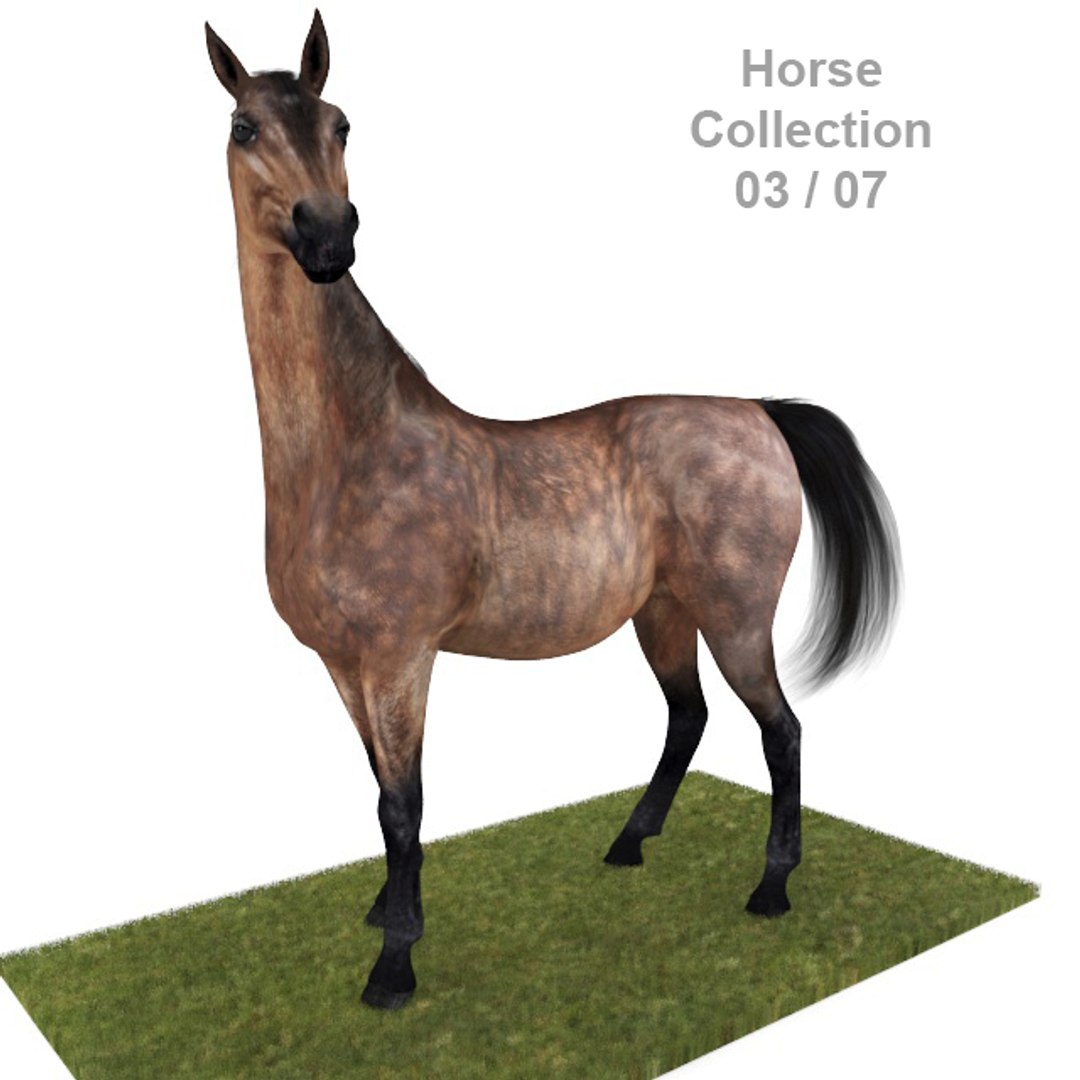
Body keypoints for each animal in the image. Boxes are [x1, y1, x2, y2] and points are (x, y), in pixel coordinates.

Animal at [205, 10, 900, 1011]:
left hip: (735, 615)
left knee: (781, 731)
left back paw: (770, 888)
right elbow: (378, 788)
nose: (329, 236)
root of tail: (758, 410)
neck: (350, 453)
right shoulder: (343, 664)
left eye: (342, 124)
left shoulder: (401, 658)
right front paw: (385, 912)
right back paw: (628, 844)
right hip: (662, 613)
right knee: (689, 718)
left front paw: (395, 965)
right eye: (244, 128)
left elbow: (403, 802)